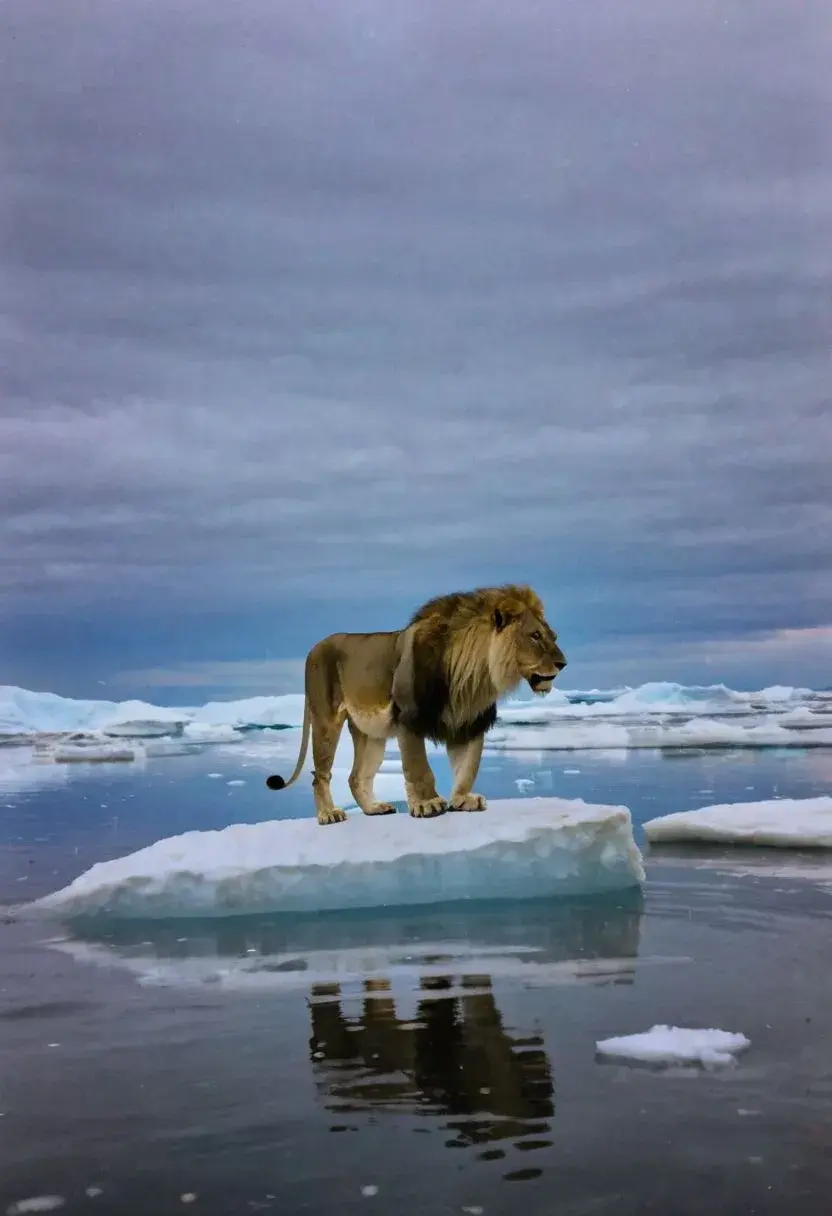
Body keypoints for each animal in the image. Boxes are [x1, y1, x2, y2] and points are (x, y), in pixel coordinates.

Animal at [265, 581, 564, 826]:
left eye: (553, 636)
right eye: (535, 636)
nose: (563, 663)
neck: (475, 677)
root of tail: (314, 647)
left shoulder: (470, 722)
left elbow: (468, 766)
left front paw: (463, 799)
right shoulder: (408, 717)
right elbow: (419, 766)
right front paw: (427, 804)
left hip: (370, 733)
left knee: (357, 776)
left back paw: (374, 808)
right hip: (326, 719)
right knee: (321, 775)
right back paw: (328, 814)